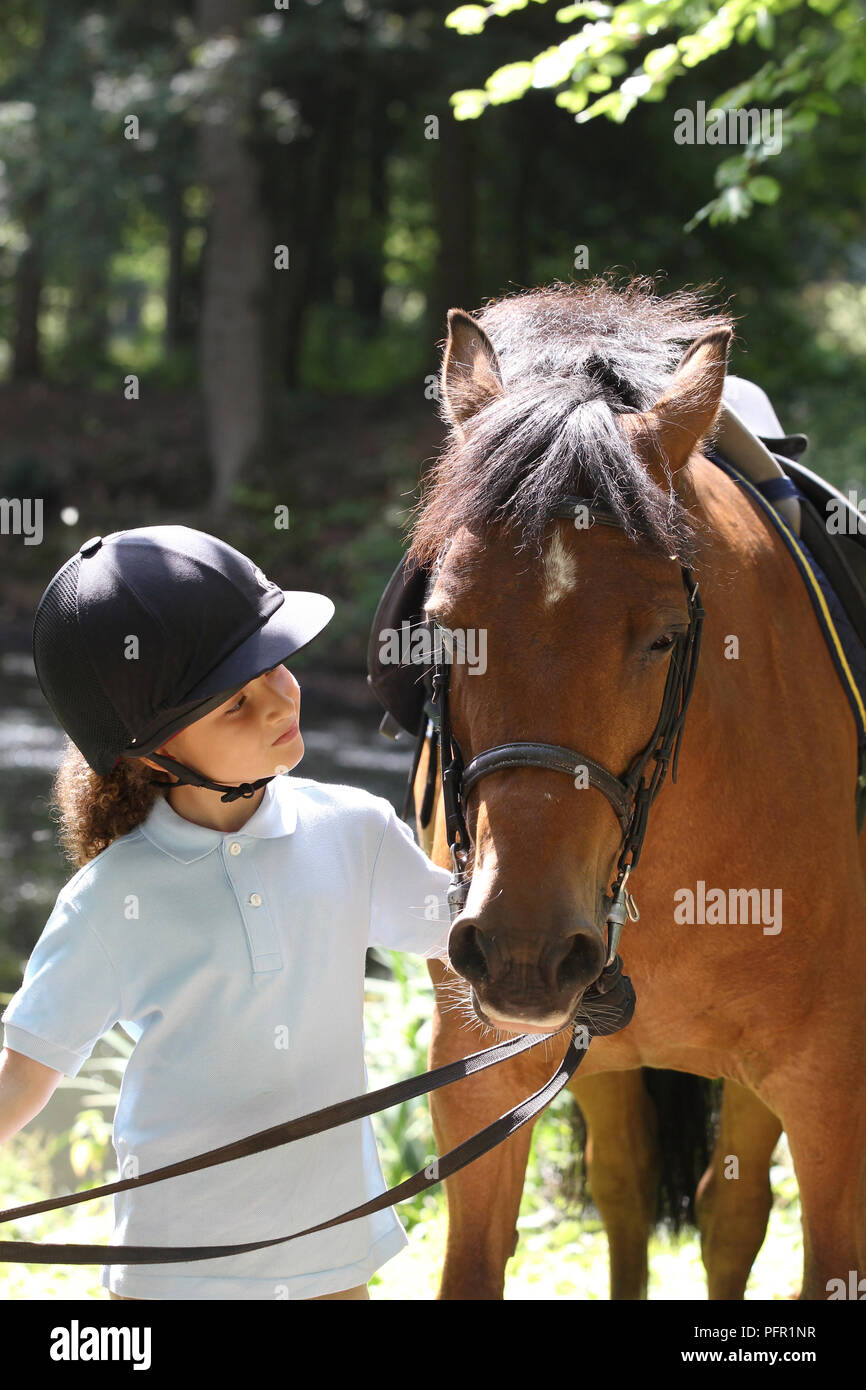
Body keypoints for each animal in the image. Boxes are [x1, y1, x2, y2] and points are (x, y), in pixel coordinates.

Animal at [401, 277, 865, 1301]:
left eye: (662, 636)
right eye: (444, 624)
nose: (523, 951)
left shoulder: (833, 1100)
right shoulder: (481, 1077)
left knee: (732, 1213)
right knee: (626, 1194)